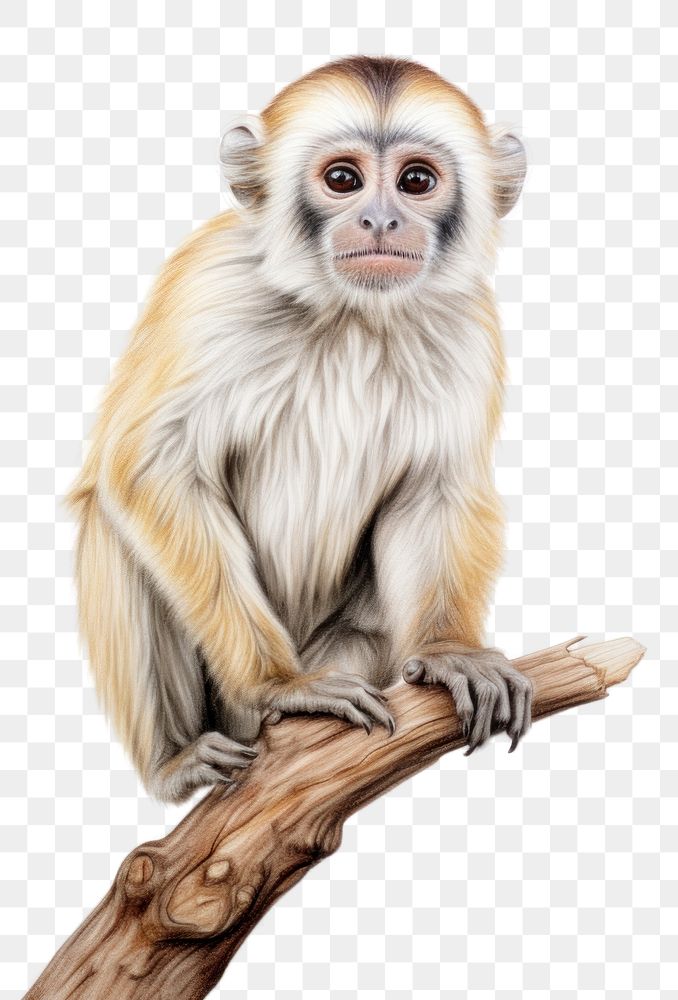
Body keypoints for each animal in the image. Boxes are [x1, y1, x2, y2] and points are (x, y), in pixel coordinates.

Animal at [68, 56, 531, 803]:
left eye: (417, 181)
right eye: (342, 179)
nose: (380, 219)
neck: (348, 311)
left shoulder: (467, 323)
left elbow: (433, 490)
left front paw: (449, 652)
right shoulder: (210, 286)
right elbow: (148, 470)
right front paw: (281, 686)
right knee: (115, 528)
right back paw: (178, 760)